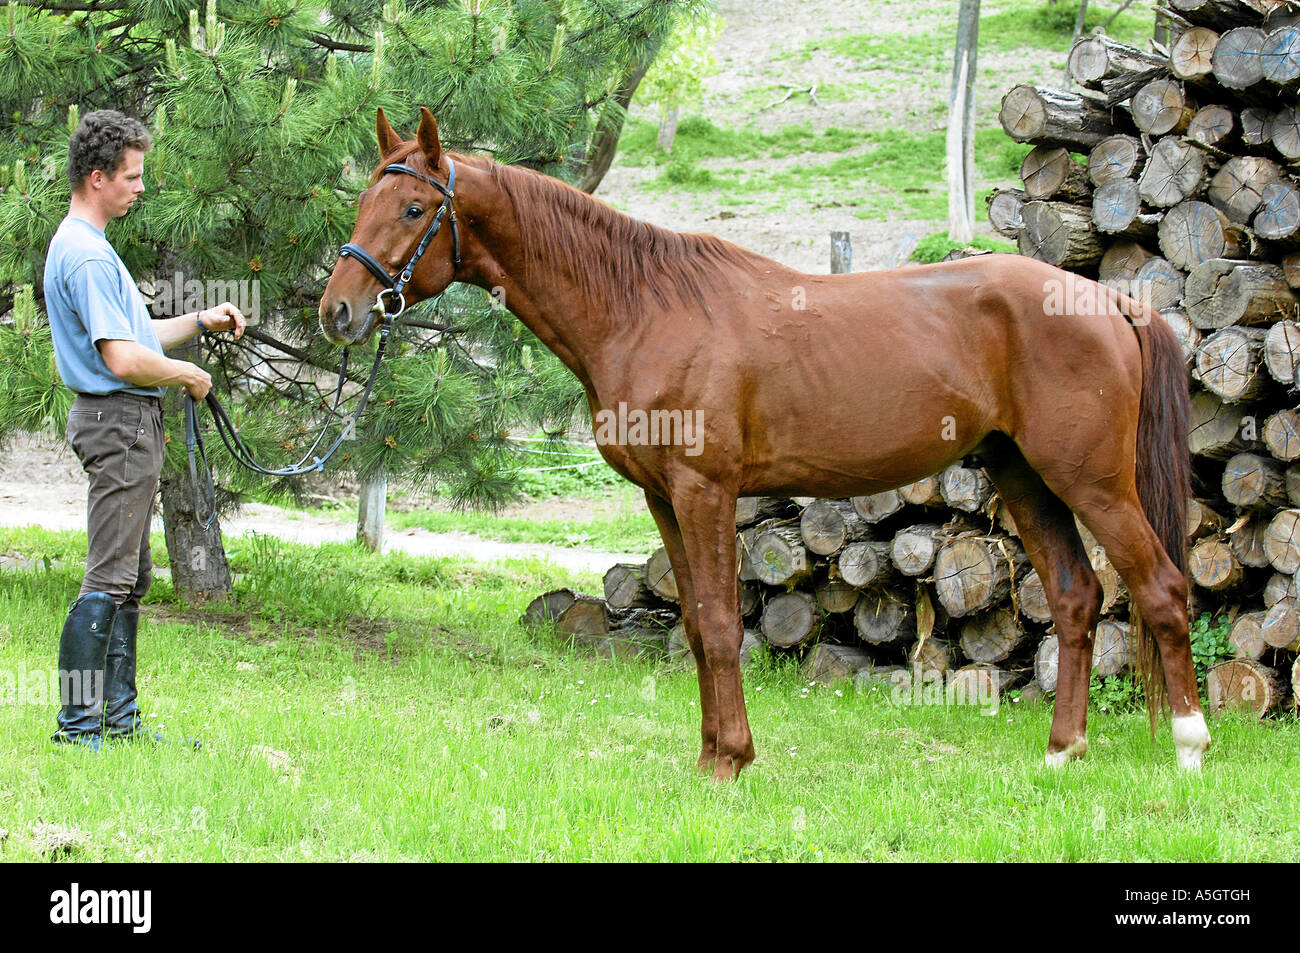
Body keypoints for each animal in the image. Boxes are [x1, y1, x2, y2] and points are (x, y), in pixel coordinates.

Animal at [319, 109, 1211, 780]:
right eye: (363, 203)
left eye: (411, 210)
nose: (338, 310)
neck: (644, 308)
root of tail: (1107, 299)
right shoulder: (663, 499)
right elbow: (697, 623)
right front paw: (714, 755)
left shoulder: (704, 491)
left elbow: (719, 626)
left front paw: (729, 764)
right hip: (1025, 475)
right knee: (1076, 596)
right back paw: (1063, 752)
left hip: (1093, 481)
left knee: (1163, 588)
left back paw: (1191, 748)